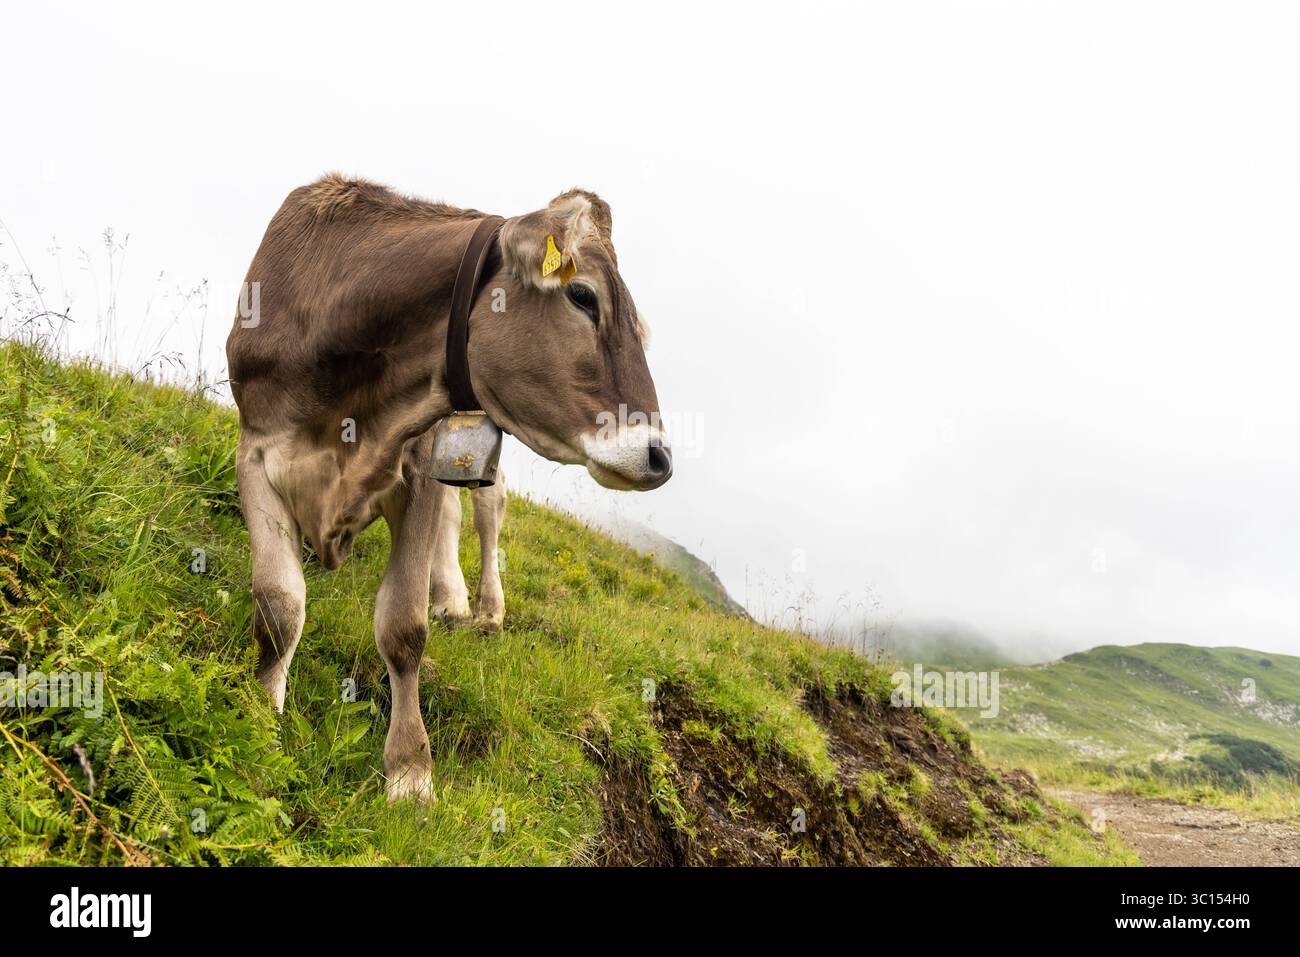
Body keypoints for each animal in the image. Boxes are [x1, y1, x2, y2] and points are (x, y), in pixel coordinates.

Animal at [225, 175, 671, 801]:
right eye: (583, 296)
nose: (659, 456)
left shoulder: (416, 465)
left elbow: (403, 627)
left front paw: (410, 773)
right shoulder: (256, 450)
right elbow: (278, 607)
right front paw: (262, 721)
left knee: (486, 508)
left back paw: (479, 607)